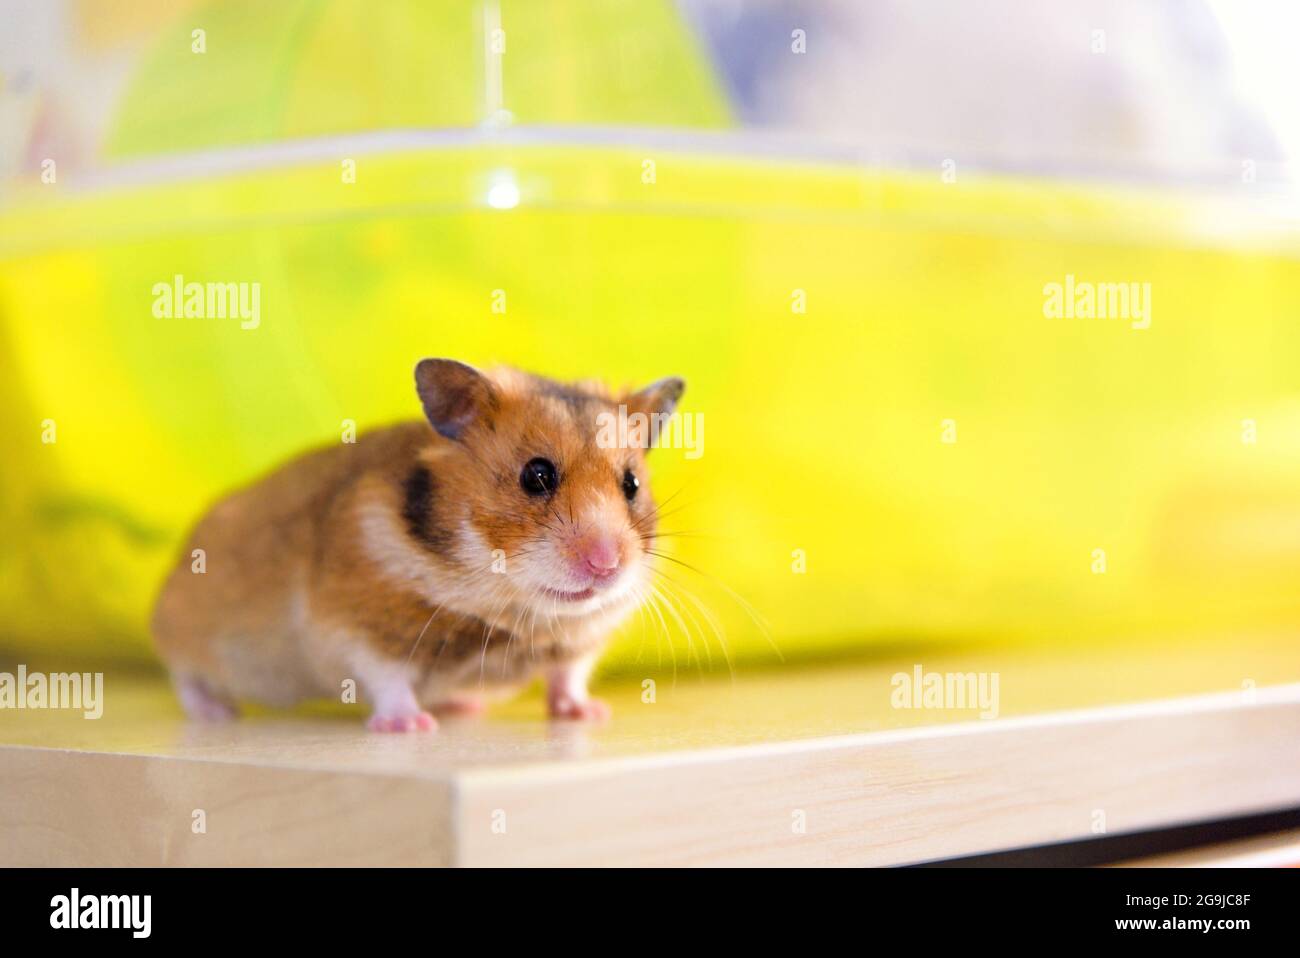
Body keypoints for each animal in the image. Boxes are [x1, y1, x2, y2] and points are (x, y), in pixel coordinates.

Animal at [152, 359, 684, 731]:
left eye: (632, 484)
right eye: (536, 475)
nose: (607, 565)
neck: (509, 610)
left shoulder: (577, 643)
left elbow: (567, 677)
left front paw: (590, 713)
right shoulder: (355, 625)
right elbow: (387, 679)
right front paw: (409, 726)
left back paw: (462, 704)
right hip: (186, 629)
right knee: (183, 674)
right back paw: (215, 713)